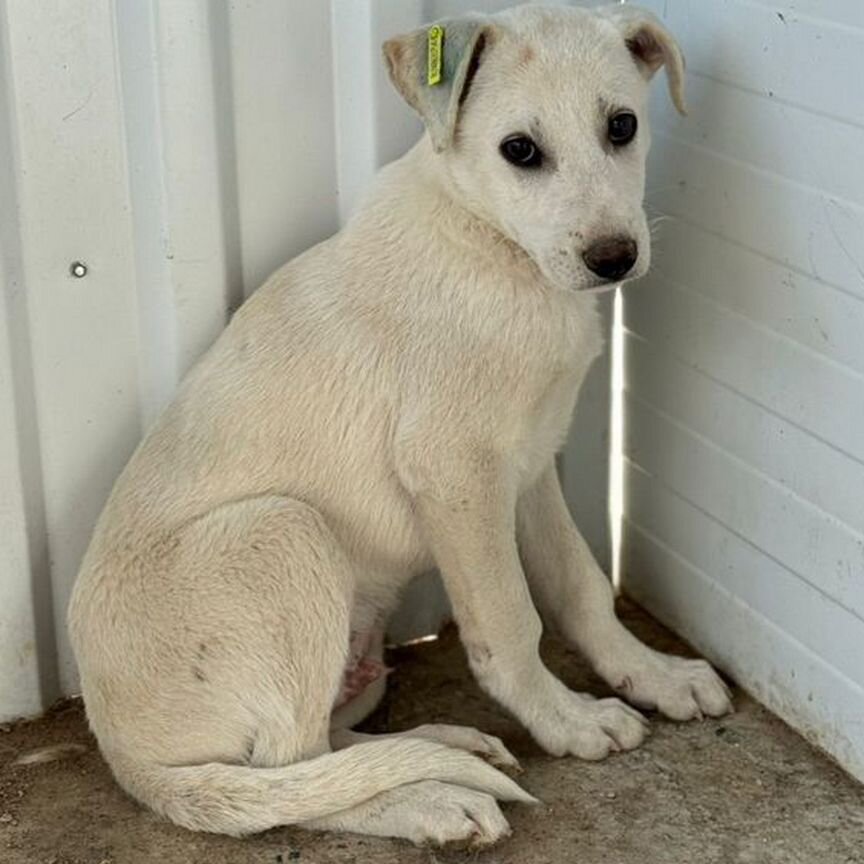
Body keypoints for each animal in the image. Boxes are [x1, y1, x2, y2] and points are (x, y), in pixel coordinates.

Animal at [66, 3, 728, 848]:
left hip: (347, 660)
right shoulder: (456, 473)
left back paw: (442, 748)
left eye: (622, 126)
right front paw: (568, 720)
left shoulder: (530, 467)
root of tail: (123, 755)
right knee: (290, 775)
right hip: (282, 531)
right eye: (519, 150)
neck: (495, 247)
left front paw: (651, 674)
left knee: (314, 755)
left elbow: (580, 583)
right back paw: (430, 798)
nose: (614, 259)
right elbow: (509, 620)